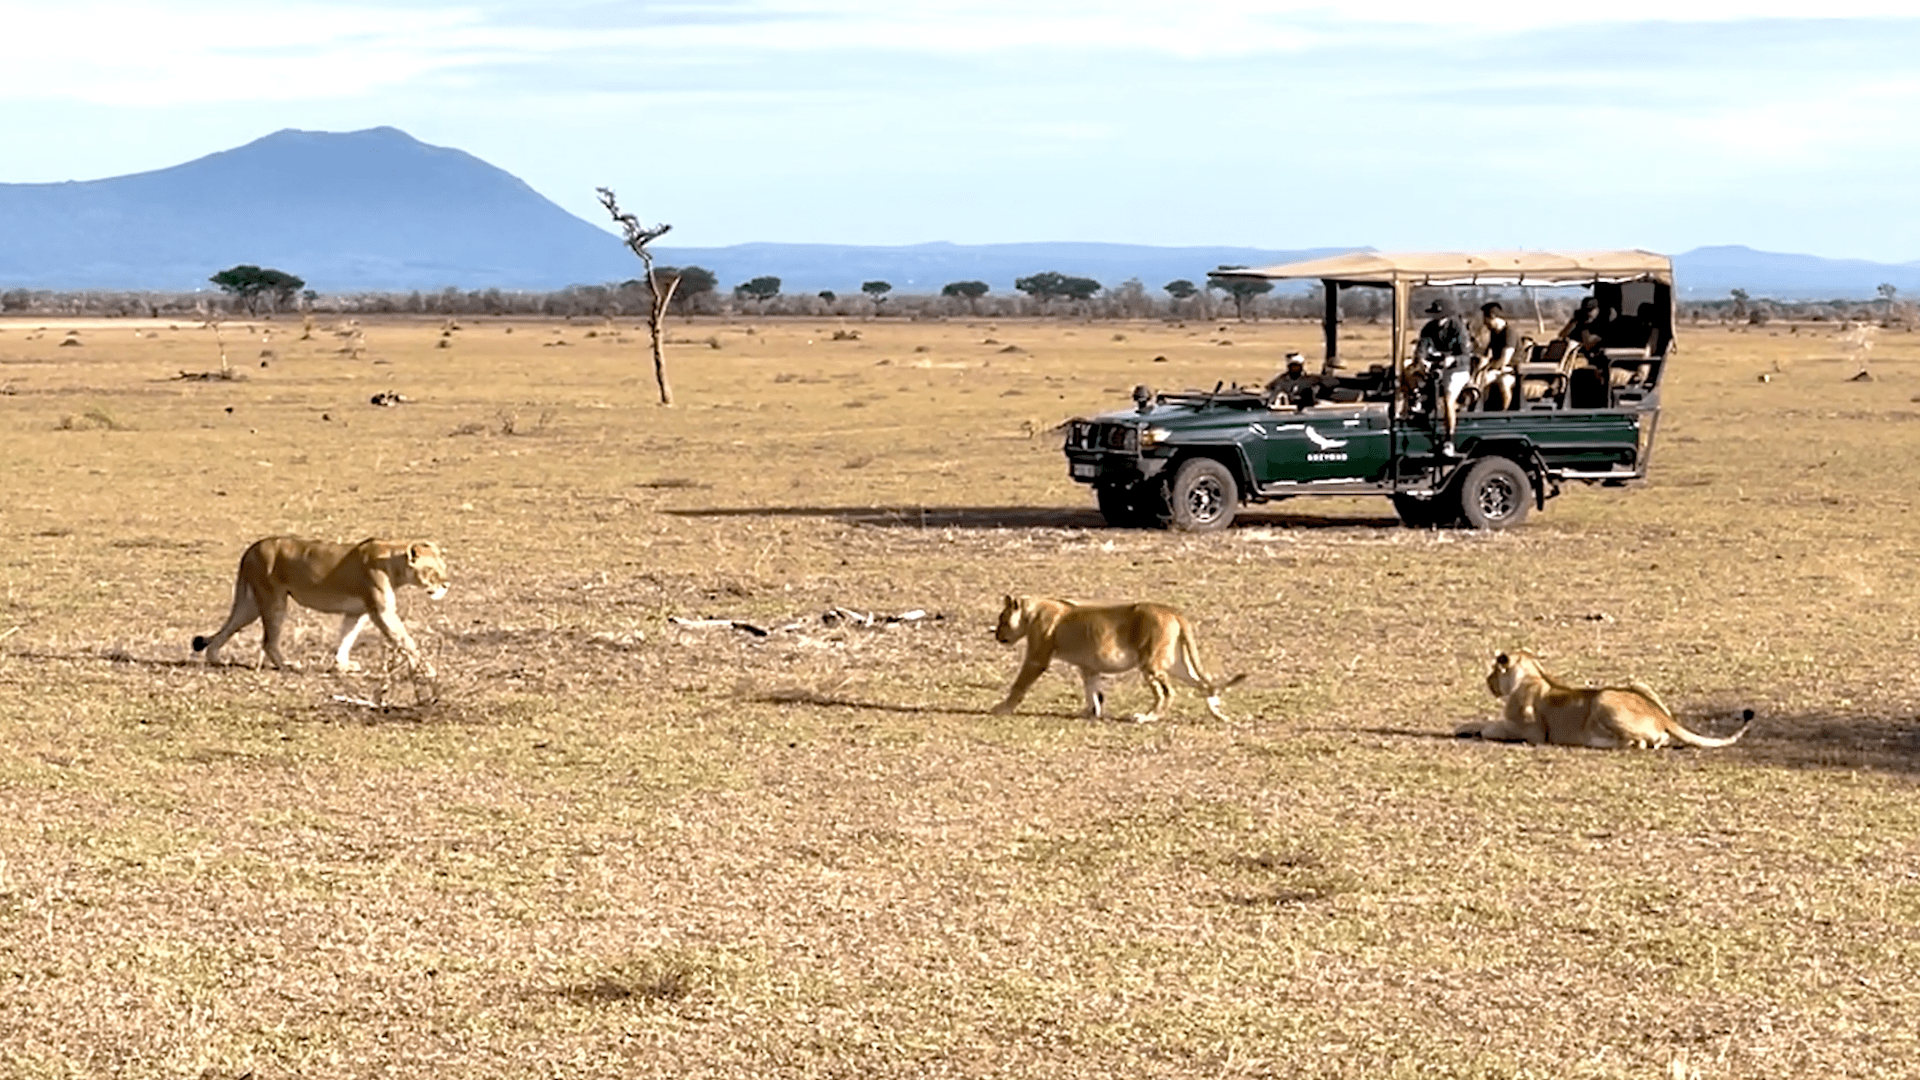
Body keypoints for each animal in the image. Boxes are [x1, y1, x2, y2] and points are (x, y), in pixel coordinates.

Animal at [192, 536, 449, 678]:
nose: (446, 584)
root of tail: (250, 549)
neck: (393, 563)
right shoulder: (381, 611)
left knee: (228, 628)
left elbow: (346, 636)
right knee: (268, 641)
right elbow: (406, 641)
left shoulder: (358, 612)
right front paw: (426, 670)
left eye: (443, 567)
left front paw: (342, 665)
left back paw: (214, 658)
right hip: (273, 599)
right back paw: (288, 666)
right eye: (432, 571)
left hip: (250, 605)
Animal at [989, 595, 1247, 723]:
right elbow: (1092, 691)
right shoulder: (1088, 667)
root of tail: (1173, 611)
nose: (997, 635)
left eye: (1002, 619)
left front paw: (1002, 708)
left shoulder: (1037, 658)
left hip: (1150, 663)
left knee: (1167, 692)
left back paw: (1147, 717)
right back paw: (1219, 715)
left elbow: (1019, 685)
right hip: (1177, 663)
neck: (1032, 611)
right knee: (1204, 683)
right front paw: (1090, 713)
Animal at [1458, 649, 1754, 749]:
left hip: (1603, 698)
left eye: (1493, 671)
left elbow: (1489, 727)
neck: (1531, 673)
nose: (1488, 681)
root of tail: (1660, 714)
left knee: (1642, 742)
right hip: (1637, 682)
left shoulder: (1533, 732)